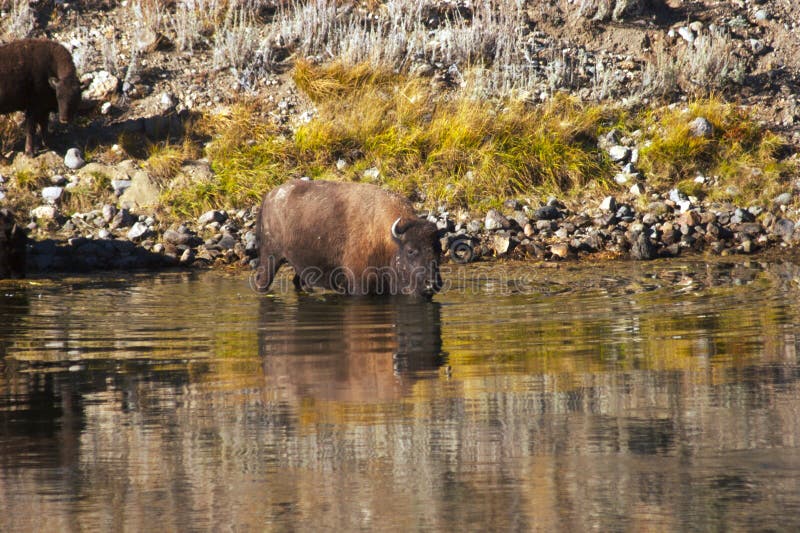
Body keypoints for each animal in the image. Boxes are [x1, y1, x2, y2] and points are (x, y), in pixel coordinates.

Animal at [253, 179, 442, 298]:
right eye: (410, 250)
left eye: (439, 250)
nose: (432, 284)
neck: (388, 239)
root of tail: (269, 196)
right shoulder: (360, 286)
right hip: (271, 257)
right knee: (262, 280)